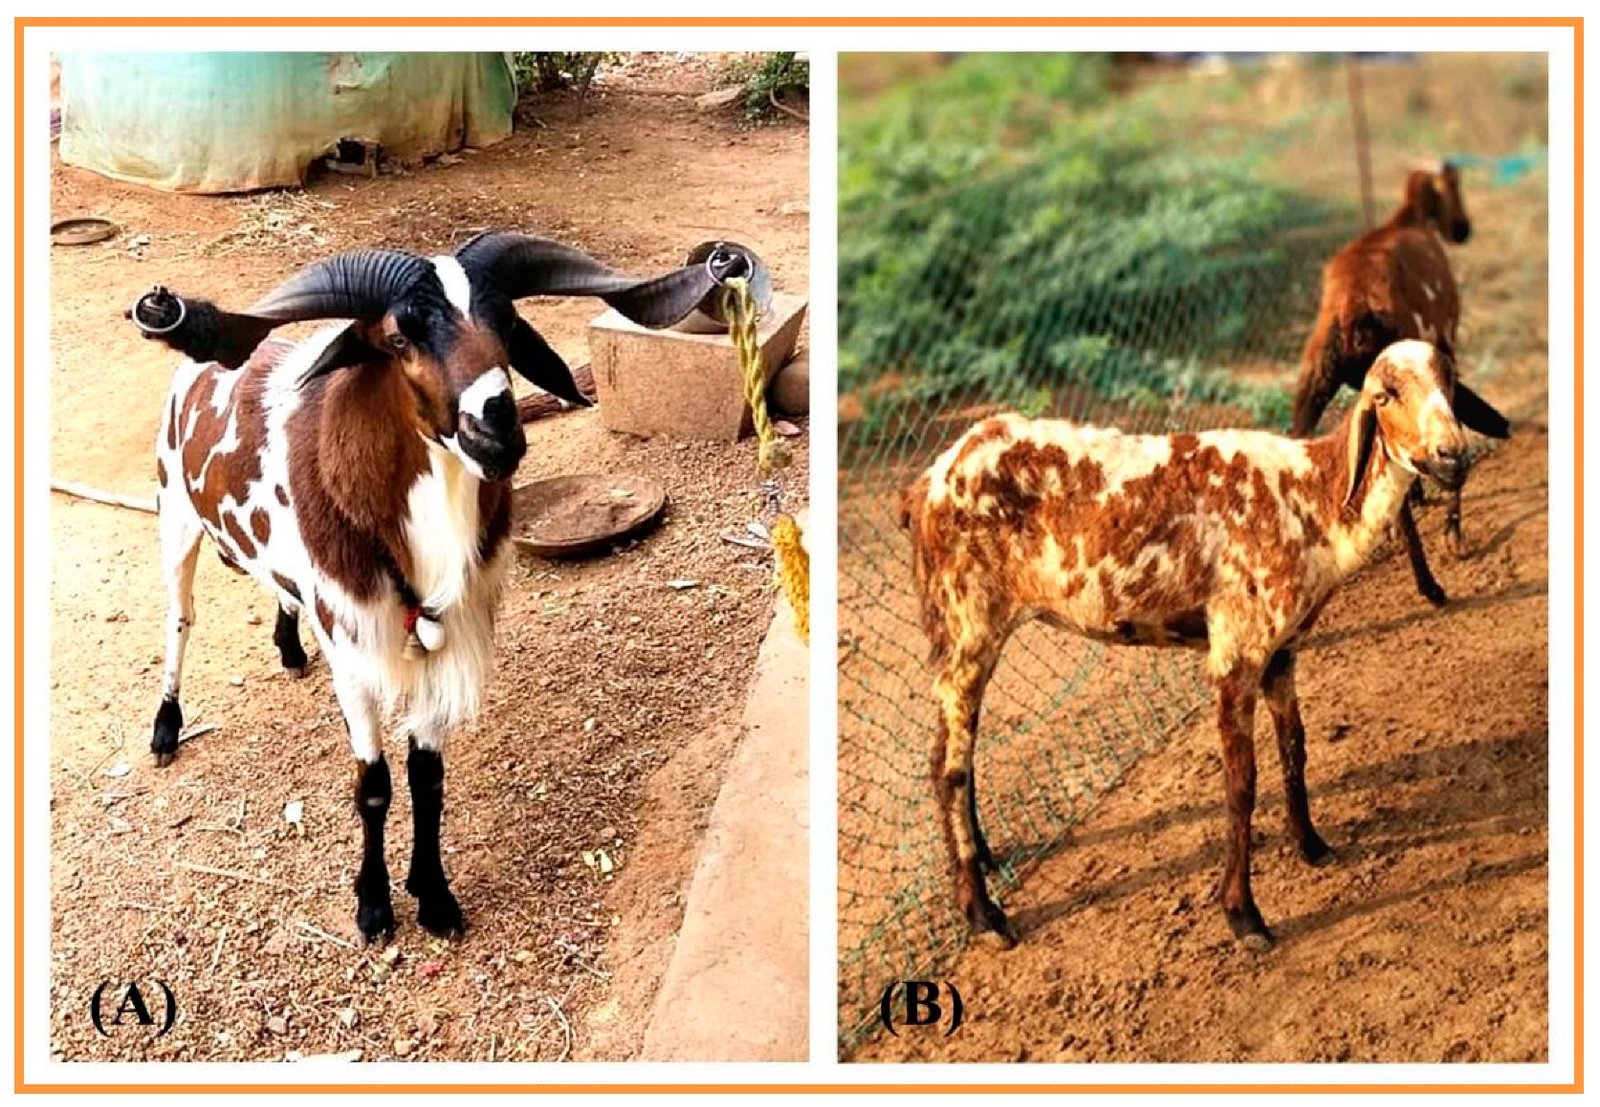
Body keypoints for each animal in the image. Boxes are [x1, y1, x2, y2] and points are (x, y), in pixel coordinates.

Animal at [130, 232, 724, 943]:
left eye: (508, 323)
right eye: (398, 336)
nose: (495, 428)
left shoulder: (442, 637)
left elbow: (427, 777)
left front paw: (435, 895)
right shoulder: (356, 653)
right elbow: (374, 785)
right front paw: (374, 906)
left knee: (278, 594)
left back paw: (289, 648)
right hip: (174, 516)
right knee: (180, 618)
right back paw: (167, 728)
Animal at [902, 339, 1483, 952]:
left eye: (1449, 382)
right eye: (1385, 395)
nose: (1452, 455)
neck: (1311, 498)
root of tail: (929, 481)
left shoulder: (1281, 652)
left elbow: (1294, 749)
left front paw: (1312, 845)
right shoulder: (1235, 649)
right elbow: (1241, 783)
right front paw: (1244, 916)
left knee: (962, 754)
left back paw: (988, 862)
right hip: (963, 622)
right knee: (945, 765)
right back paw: (984, 914)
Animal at [1290, 161, 1510, 606]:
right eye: (1454, 188)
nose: (1463, 229)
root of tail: (1353, 312)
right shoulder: (1445, 350)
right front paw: (1452, 532)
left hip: (1312, 388)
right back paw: (1432, 583)